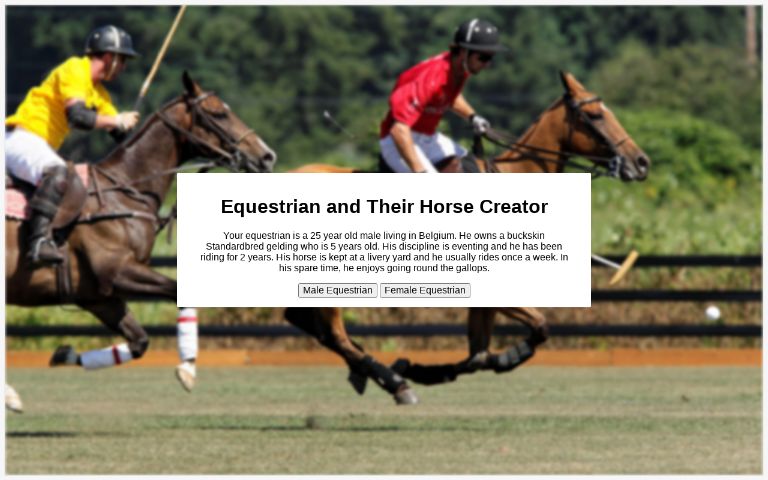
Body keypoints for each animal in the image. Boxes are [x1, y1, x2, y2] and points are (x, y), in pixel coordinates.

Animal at [6, 72, 276, 386]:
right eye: (218, 113)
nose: (267, 156)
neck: (126, 189)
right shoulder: (116, 270)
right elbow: (179, 291)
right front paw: (187, 368)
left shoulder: (97, 295)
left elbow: (139, 342)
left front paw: (64, 354)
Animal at [284, 71, 650, 404]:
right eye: (596, 115)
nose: (641, 162)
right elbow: (535, 328)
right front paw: (414, 371)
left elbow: (480, 355)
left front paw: (420, 369)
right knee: (332, 333)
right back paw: (394, 382)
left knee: (307, 323)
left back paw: (374, 373)